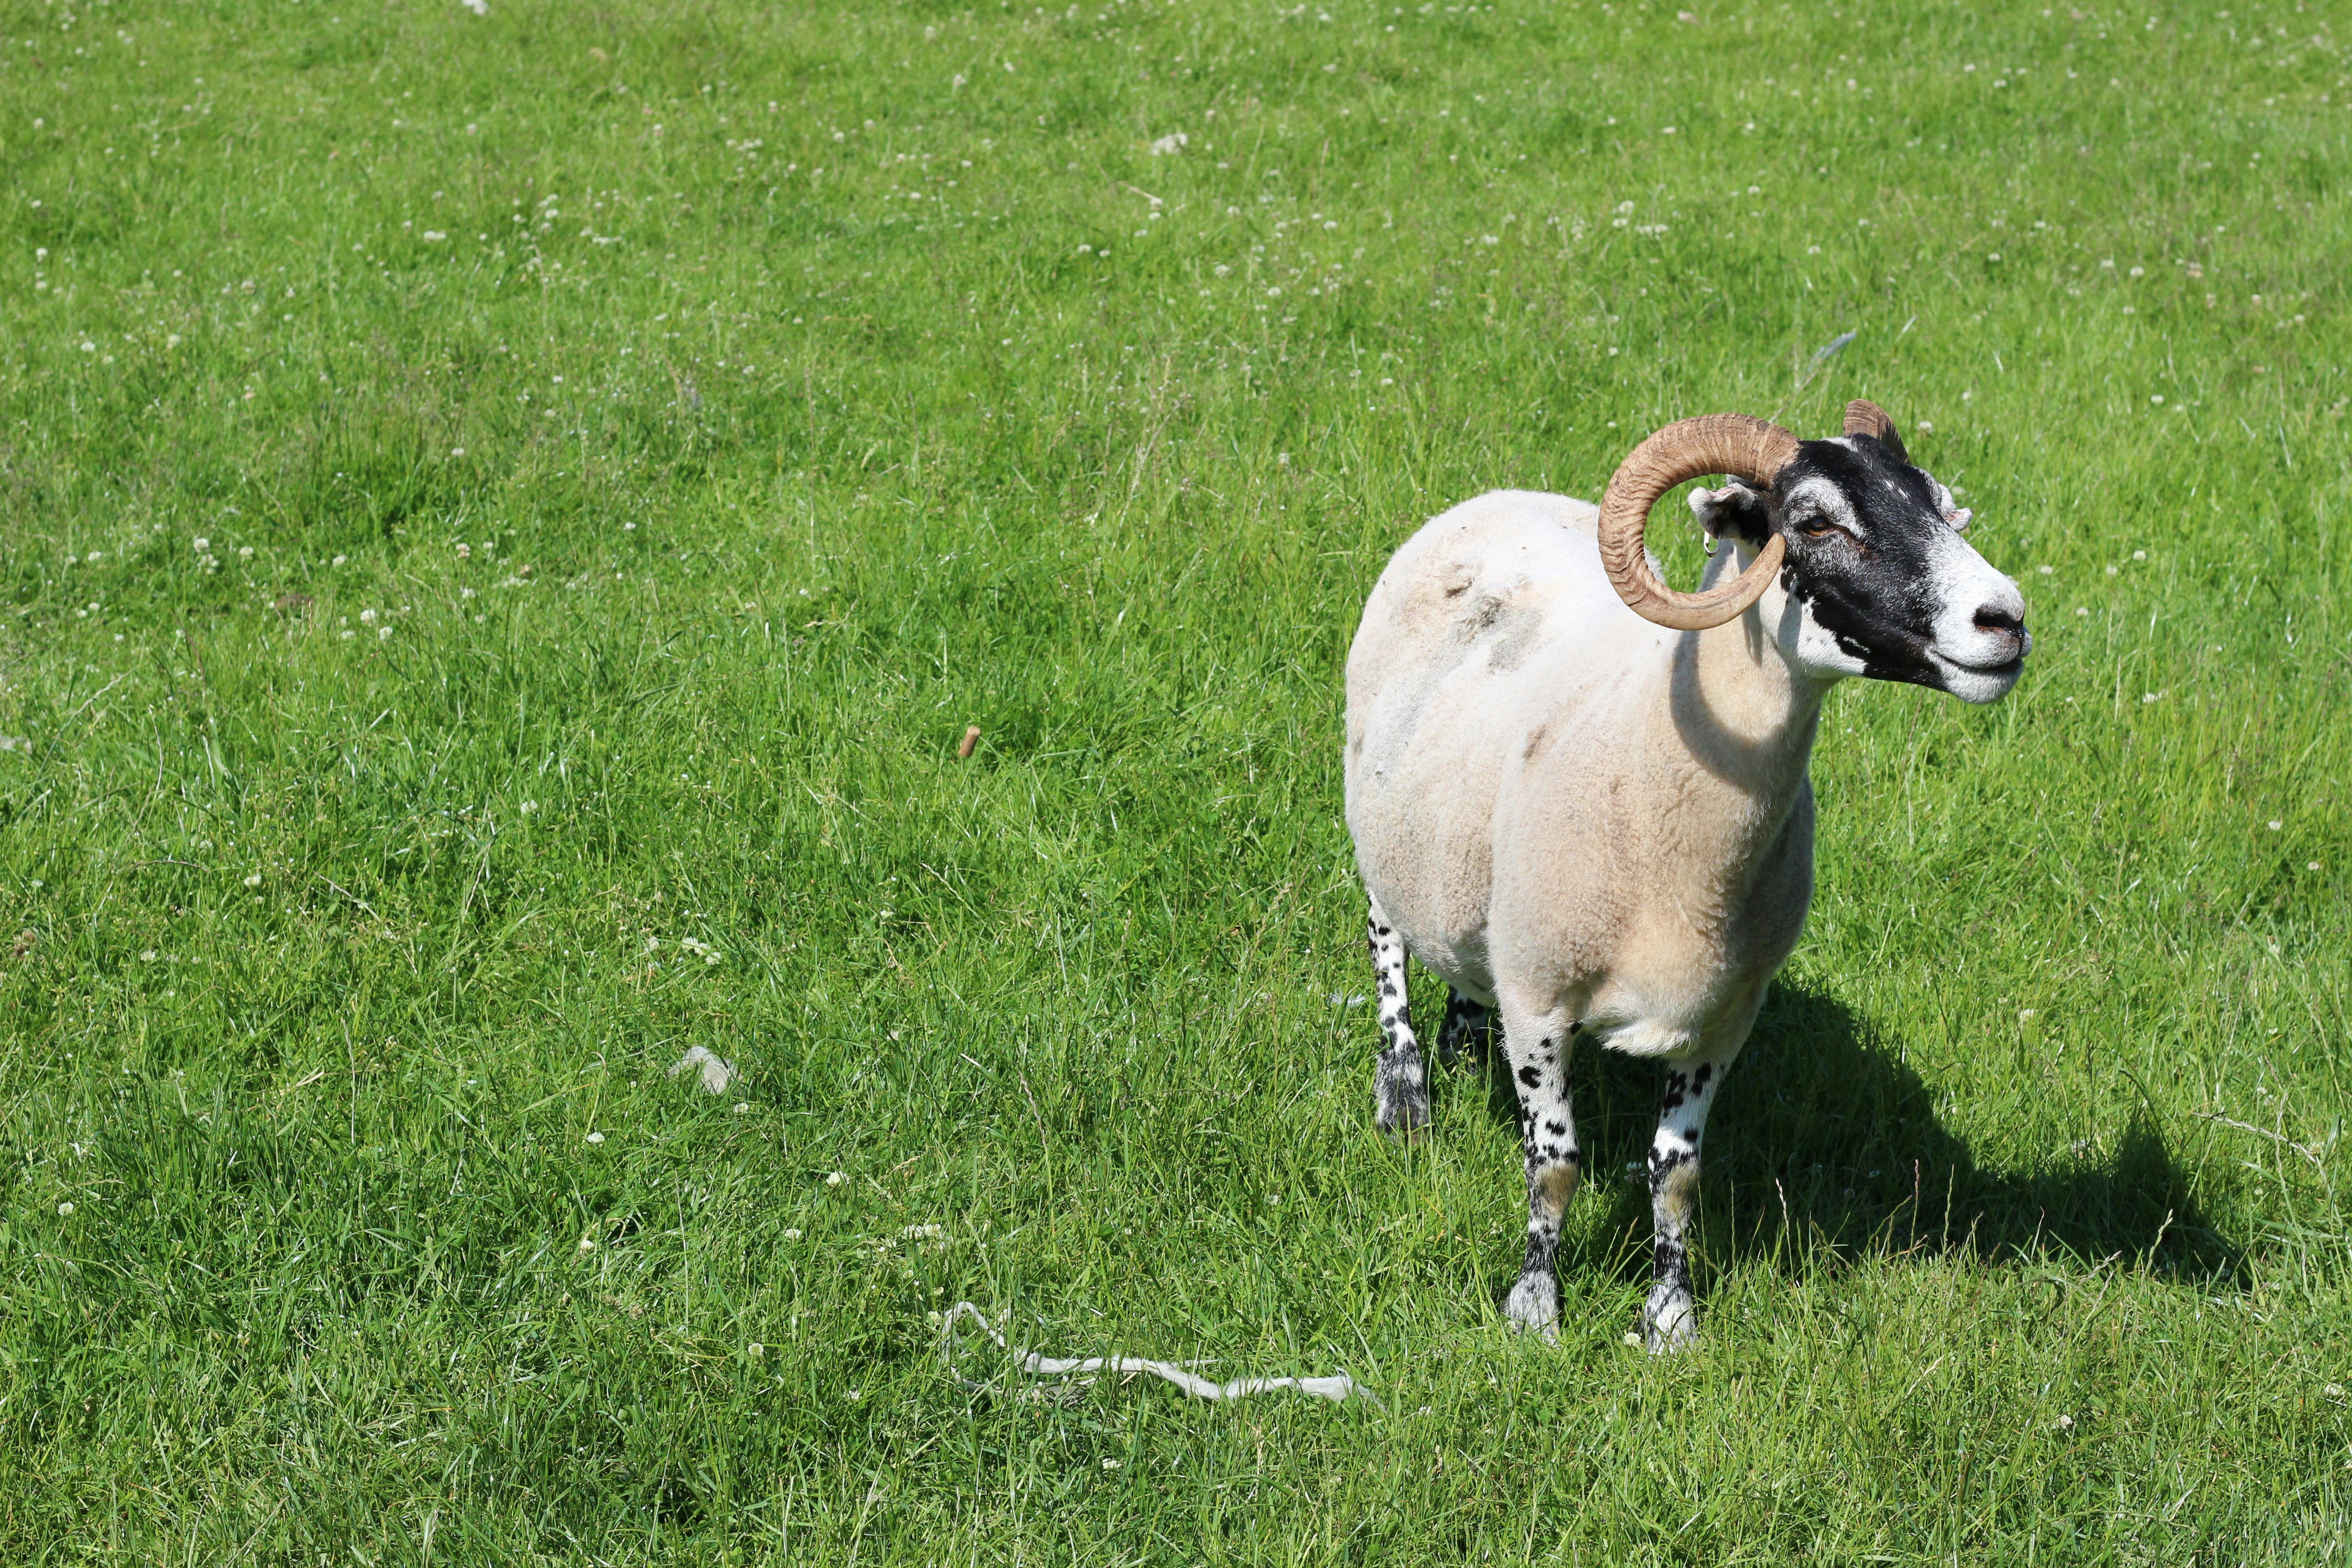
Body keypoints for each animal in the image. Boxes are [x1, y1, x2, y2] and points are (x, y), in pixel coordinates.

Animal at [1343, 401, 2029, 1349]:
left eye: (1936, 503)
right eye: (1813, 521)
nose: (2005, 620)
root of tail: (1497, 497)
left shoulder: (1723, 1016)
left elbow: (1675, 1172)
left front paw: (1669, 1318)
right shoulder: (1541, 997)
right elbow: (1553, 1165)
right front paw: (1534, 1307)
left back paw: (1461, 1044)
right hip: (1376, 820)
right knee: (1385, 940)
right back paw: (1404, 1093)